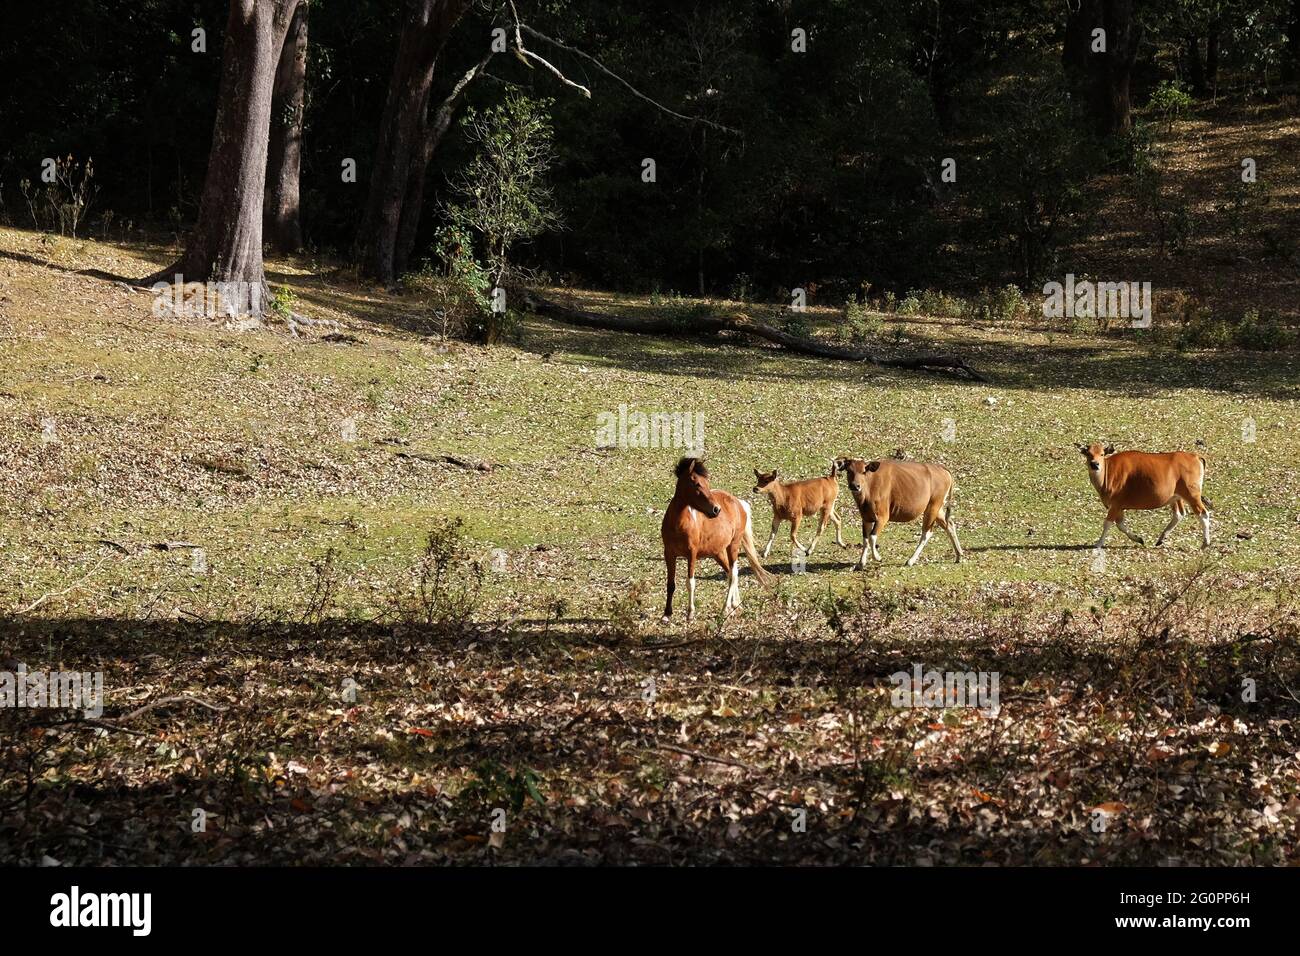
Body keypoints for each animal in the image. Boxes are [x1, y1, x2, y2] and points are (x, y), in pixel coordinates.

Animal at [661, 457, 771, 621]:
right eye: (697, 484)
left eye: (707, 483)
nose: (716, 509)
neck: (678, 524)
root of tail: (739, 503)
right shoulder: (669, 554)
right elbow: (670, 584)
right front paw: (666, 614)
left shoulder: (691, 554)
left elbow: (690, 582)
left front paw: (690, 613)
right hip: (718, 553)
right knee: (731, 573)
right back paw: (735, 606)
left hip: (733, 546)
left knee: (733, 574)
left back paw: (725, 608)